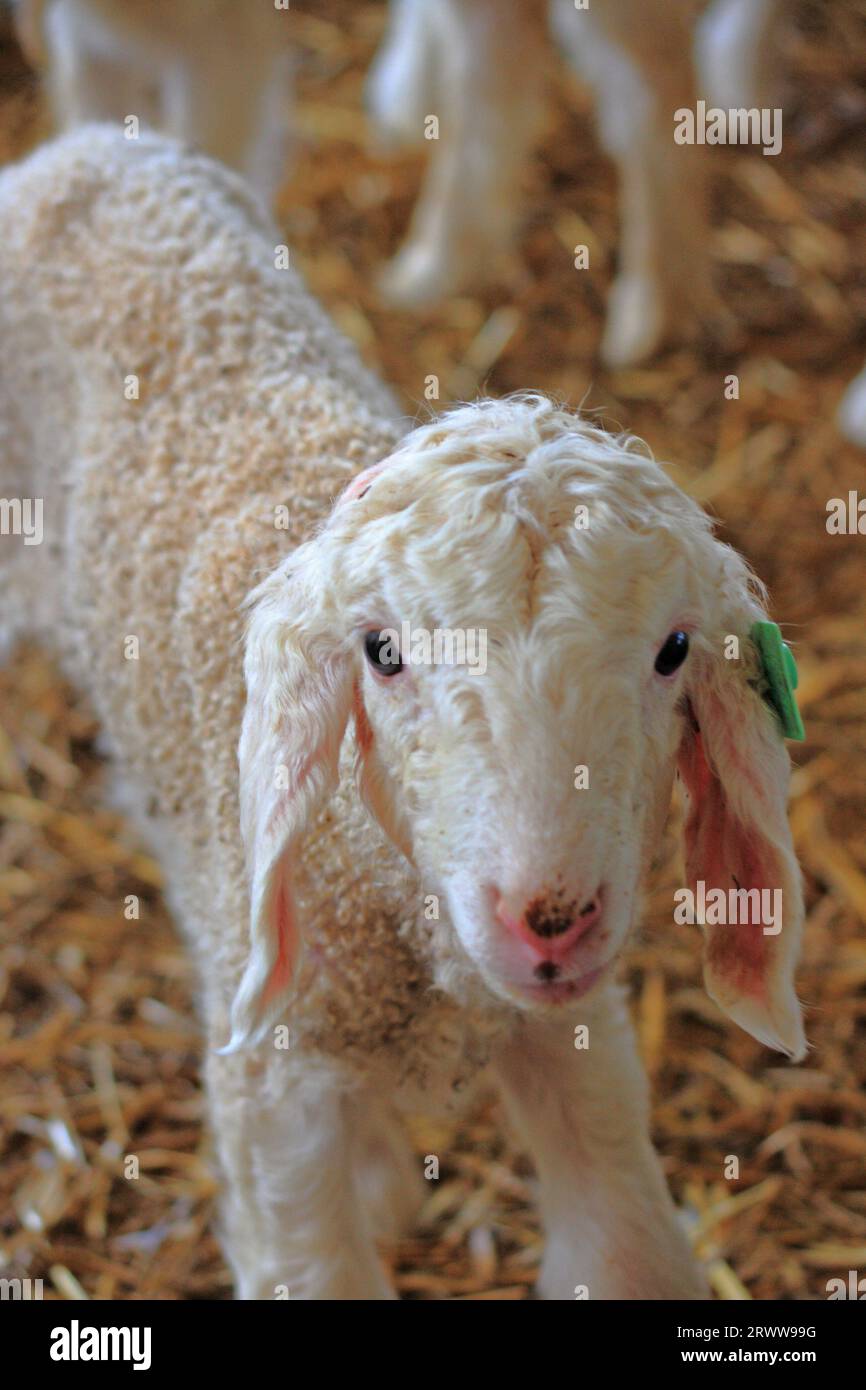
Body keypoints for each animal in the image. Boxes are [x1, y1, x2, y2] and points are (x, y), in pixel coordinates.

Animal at [0, 126, 806, 1300]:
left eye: (671, 651)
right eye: (380, 653)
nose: (550, 920)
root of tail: (87, 148)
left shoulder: (575, 1039)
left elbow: (621, 1244)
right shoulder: (278, 1080)